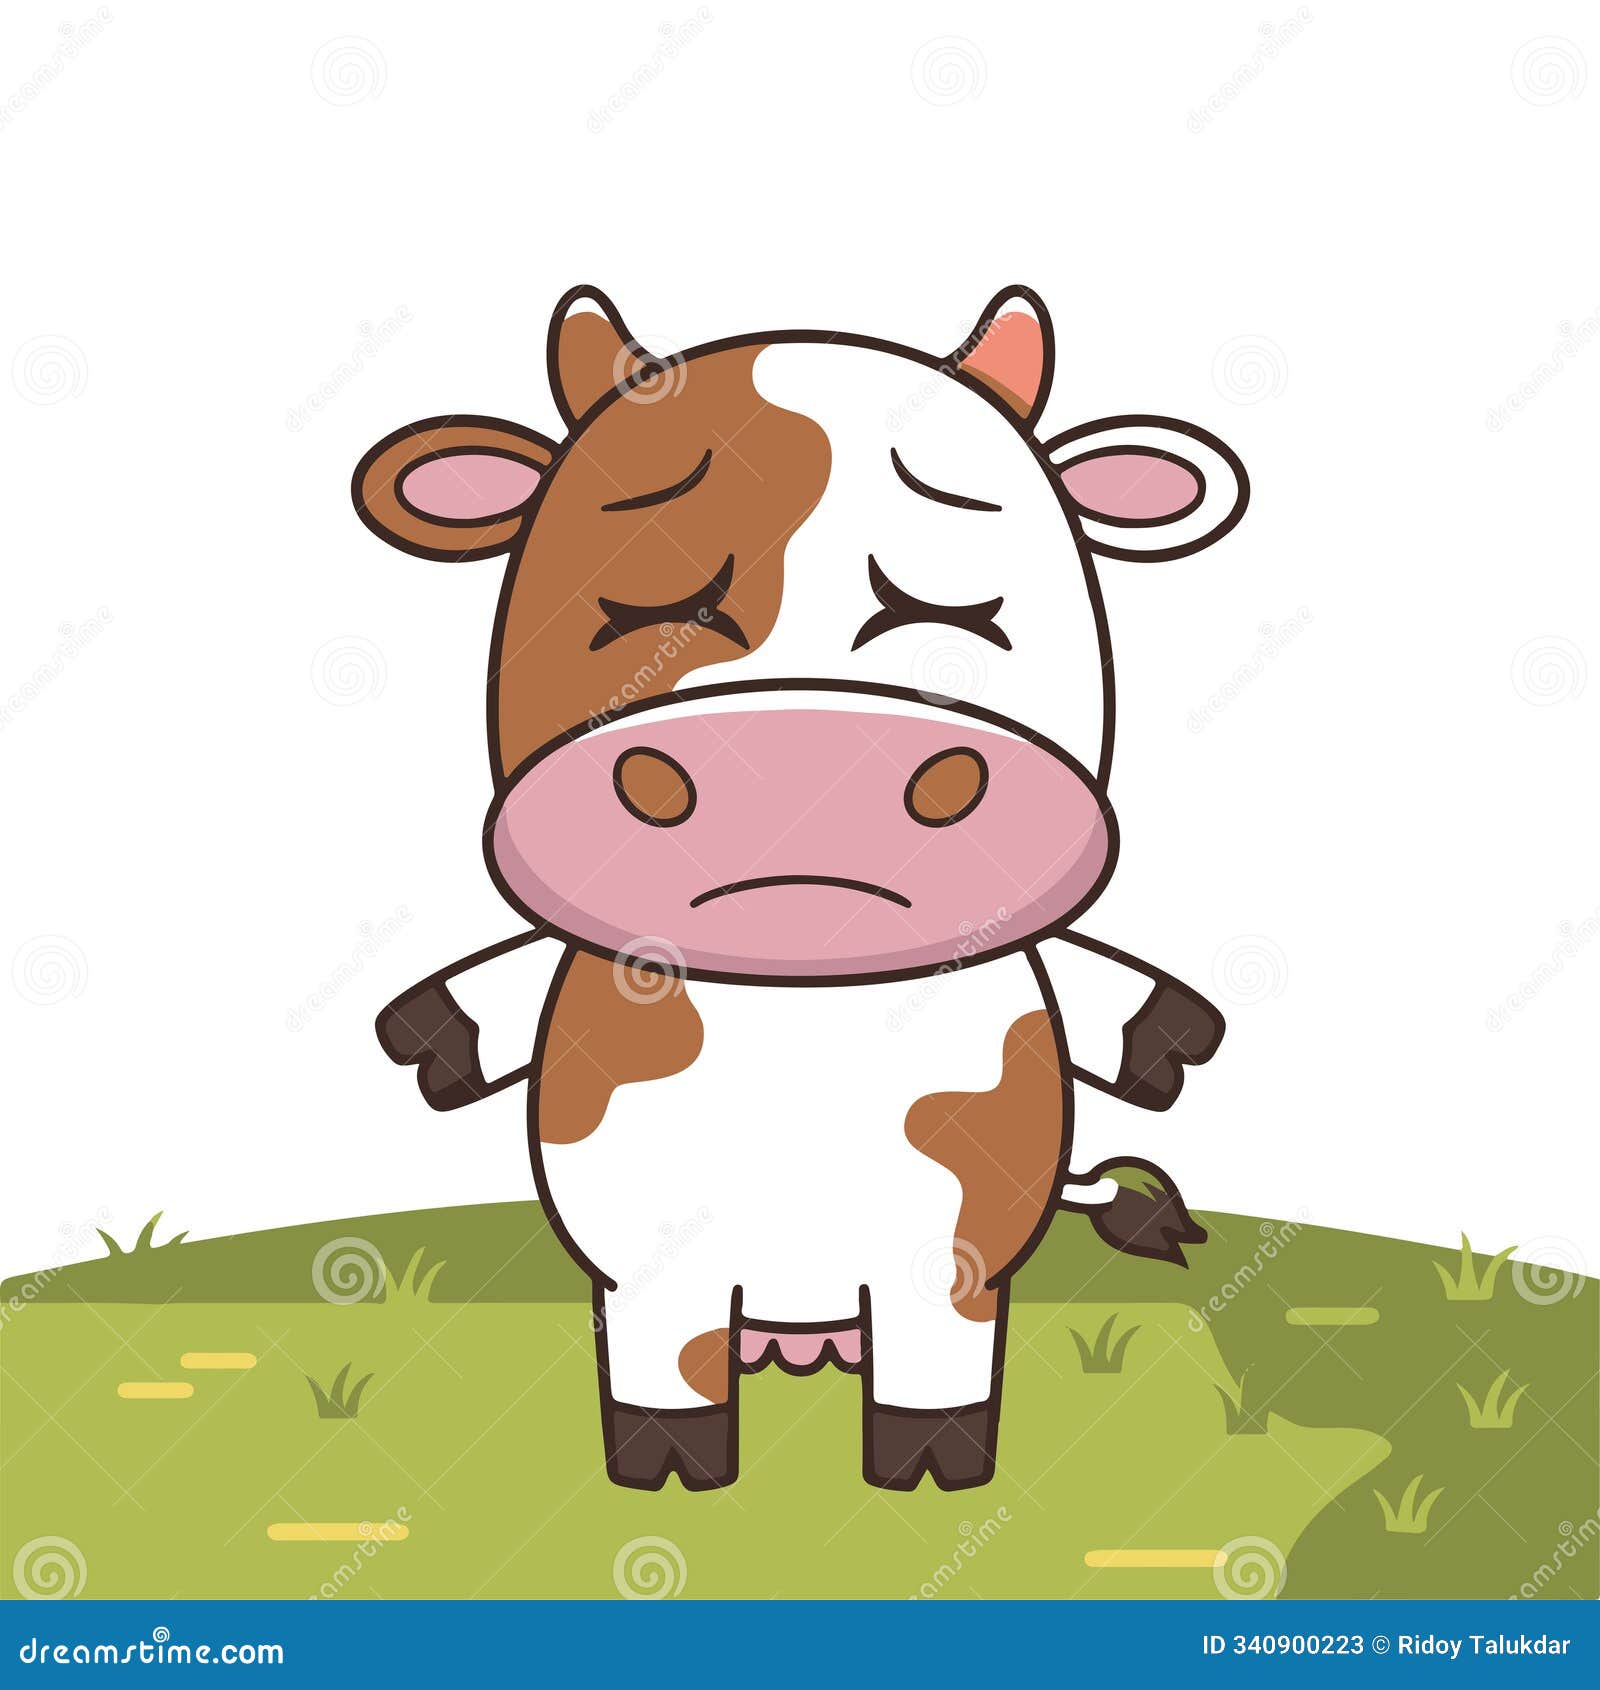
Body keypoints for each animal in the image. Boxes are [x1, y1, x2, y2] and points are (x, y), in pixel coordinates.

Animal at [352, 285, 1246, 1492]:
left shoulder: (962, 1255)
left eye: (967, 617)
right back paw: (674, 1460)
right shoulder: (637, 1260)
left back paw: (926, 1461)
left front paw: (1175, 1044)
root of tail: (802, 1327)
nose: (801, 764)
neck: (801, 1007)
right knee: (682, 1356)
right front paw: (426, 1046)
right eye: (640, 613)